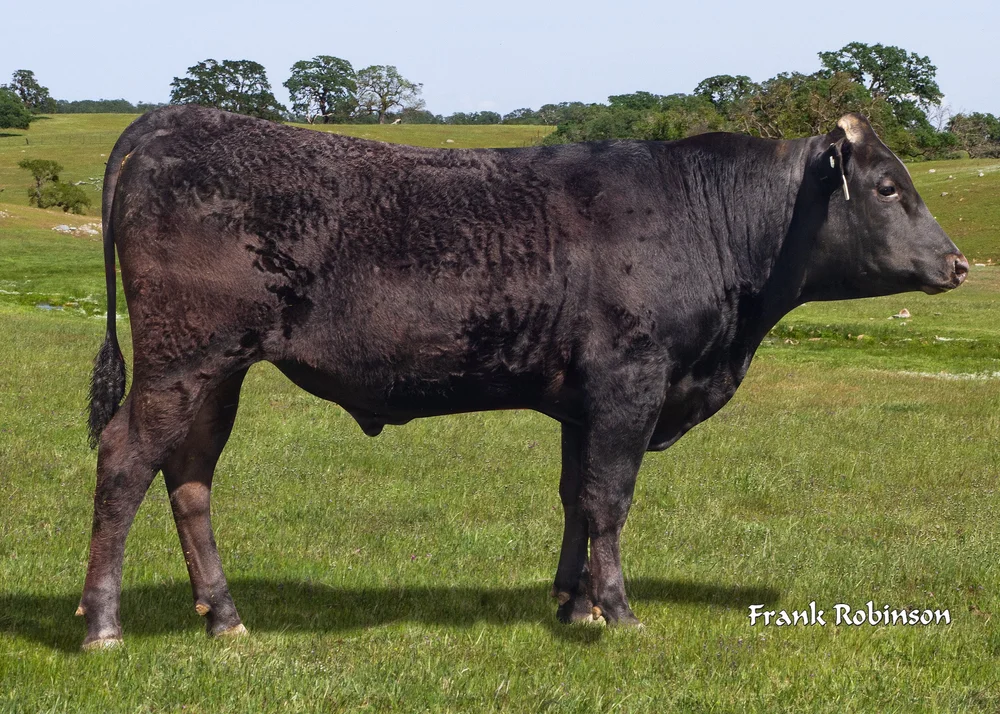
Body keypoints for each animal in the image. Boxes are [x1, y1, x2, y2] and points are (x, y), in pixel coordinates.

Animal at [78, 105, 967, 649]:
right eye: (888, 186)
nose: (959, 263)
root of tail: (177, 117)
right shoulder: (629, 383)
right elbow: (610, 500)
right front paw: (618, 611)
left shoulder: (583, 402)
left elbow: (576, 497)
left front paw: (574, 605)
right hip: (182, 358)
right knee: (125, 461)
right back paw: (102, 625)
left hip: (219, 369)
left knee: (189, 477)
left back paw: (224, 618)